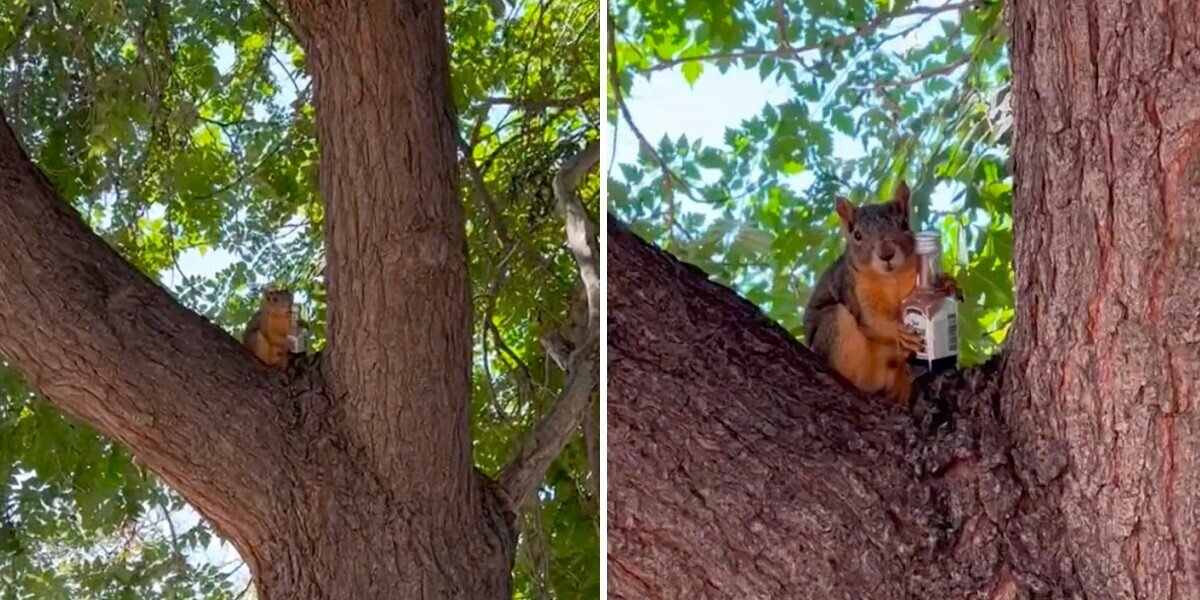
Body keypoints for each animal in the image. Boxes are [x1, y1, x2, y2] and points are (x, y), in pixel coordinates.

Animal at [802, 181, 957, 405]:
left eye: (904, 224)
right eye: (857, 235)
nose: (886, 254)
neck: (891, 278)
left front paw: (948, 283)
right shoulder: (855, 292)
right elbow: (873, 320)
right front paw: (898, 332)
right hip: (833, 326)